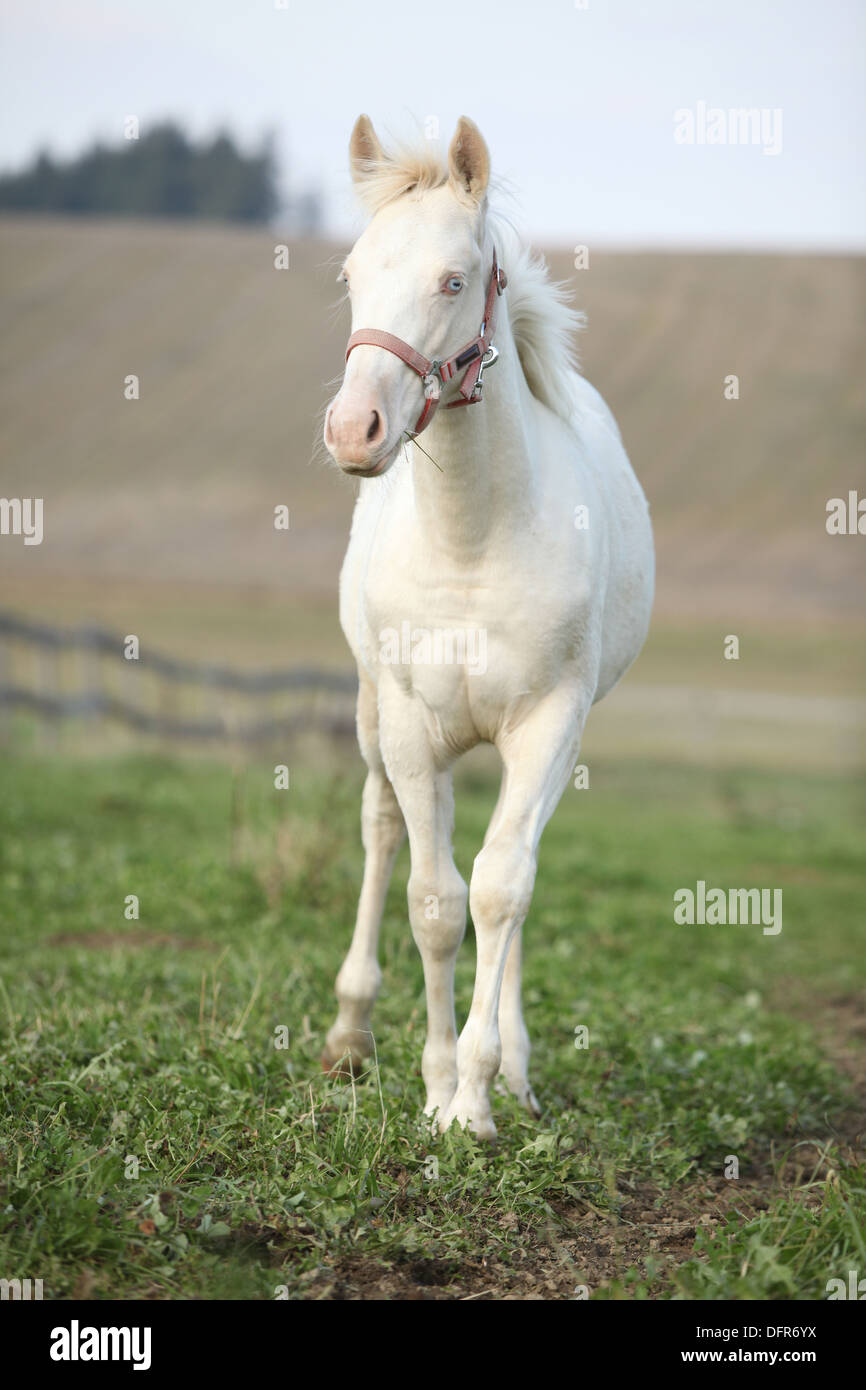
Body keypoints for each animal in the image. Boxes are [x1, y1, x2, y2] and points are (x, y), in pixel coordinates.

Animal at [321, 115, 654, 1139]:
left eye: (454, 280)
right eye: (351, 275)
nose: (355, 430)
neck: (471, 542)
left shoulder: (546, 725)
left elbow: (503, 888)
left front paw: (476, 1094)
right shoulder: (411, 727)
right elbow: (434, 900)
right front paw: (434, 1089)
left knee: (515, 869)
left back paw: (515, 1068)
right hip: (372, 718)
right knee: (380, 830)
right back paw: (349, 1033)